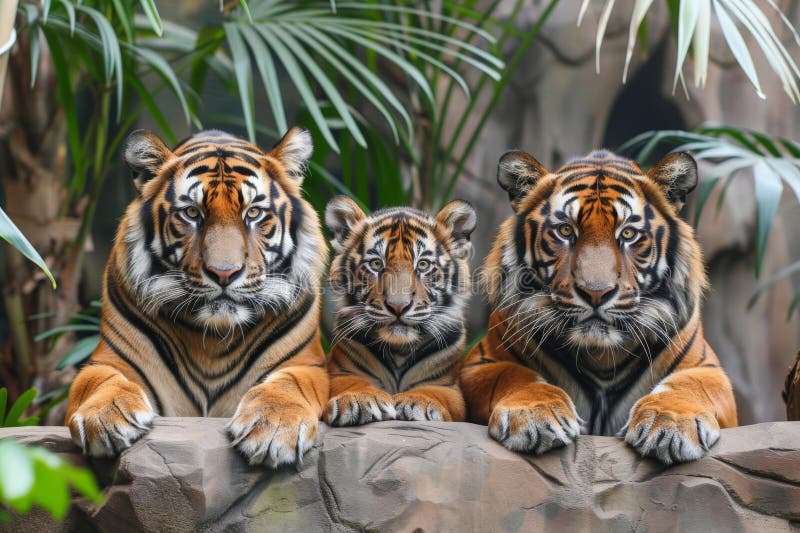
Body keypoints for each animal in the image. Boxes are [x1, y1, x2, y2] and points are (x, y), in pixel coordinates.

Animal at [65, 127, 330, 468]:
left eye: (254, 213)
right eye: (192, 213)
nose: (224, 273)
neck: (214, 338)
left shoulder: (307, 364)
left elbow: (289, 383)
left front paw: (274, 428)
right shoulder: (108, 359)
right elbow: (100, 380)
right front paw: (106, 417)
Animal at [323, 197, 476, 425]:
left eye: (423, 265)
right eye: (376, 263)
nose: (398, 306)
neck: (399, 350)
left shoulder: (448, 387)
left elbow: (434, 393)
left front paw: (417, 402)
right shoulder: (342, 371)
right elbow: (351, 382)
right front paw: (359, 399)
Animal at [460, 149, 737, 464]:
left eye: (628, 234)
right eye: (565, 230)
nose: (595, 293)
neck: (601, 356)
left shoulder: (707, 368)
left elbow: (689, 386)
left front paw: (669, 424)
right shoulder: (483, 361)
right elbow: (515, 376)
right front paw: (535, 416)